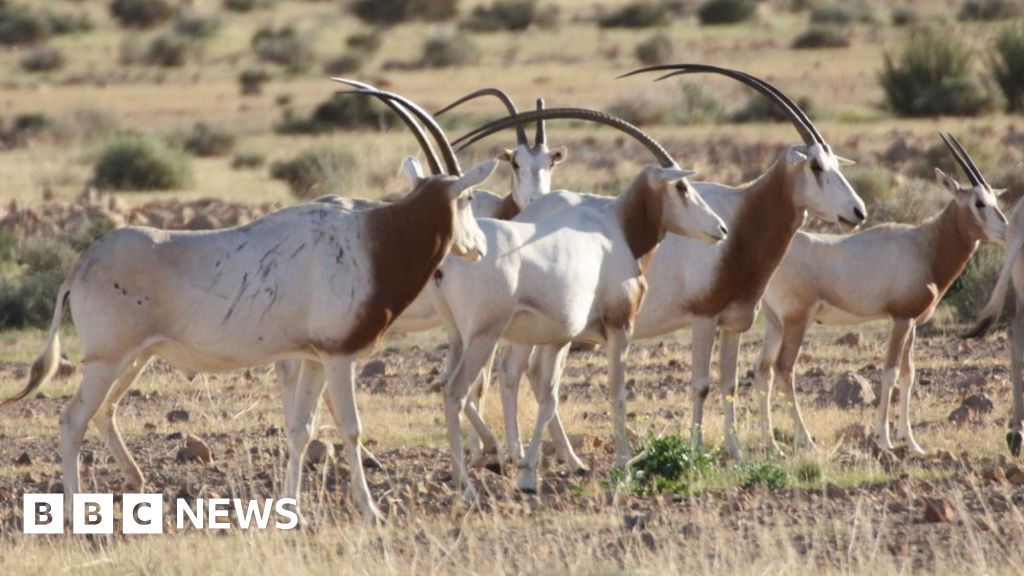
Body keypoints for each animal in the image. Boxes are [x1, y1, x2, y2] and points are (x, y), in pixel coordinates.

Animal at [0, 86, 500, 525]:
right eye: (468, 198)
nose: (478, 249)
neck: (375, 240)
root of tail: (80, 266)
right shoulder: (339, 357)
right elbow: (351, 428)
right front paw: (372, 511)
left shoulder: (313, 358)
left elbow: (301, 430)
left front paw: (292, 510)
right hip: (108, 360)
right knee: (72, 420)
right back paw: (73, 513)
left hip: (133, 358)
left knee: (101, 413)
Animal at [429, 106, 729, 494]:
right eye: (681, 186)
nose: (721, 229)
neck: (618, 227)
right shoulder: (620, 326)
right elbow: (616, 393)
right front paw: (624, 463)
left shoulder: (559, 337)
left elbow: (548, 396)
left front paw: (529, 473)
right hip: (482, 336)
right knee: (456, 390)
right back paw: (465, 482)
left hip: (462, 336)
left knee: (464, 381)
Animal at [458, 64, 867, 465]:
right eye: (816, 166)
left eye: (834, 163)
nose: (858, 211)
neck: (742, 219)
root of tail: (526, 213)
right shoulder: (704, 318)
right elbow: (701, 385)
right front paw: (697, 451)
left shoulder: (733, 322)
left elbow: (729, 384)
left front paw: (738, 452)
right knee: (513, 371)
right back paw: (517, 454)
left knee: (529, 372)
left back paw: (565, 457)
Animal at [755, 134, 1007, 455]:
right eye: (978, 202)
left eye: (994, 200)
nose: (1005, 230)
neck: (925, 243)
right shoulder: (900, 319)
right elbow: (889, 373)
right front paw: (885, 440)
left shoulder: (913, 323)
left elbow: (909, 374)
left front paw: (911, 442)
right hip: (796, 321)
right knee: (784, 369)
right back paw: (806, 440)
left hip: (775, 322)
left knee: (764, 371)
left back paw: (770, 442)